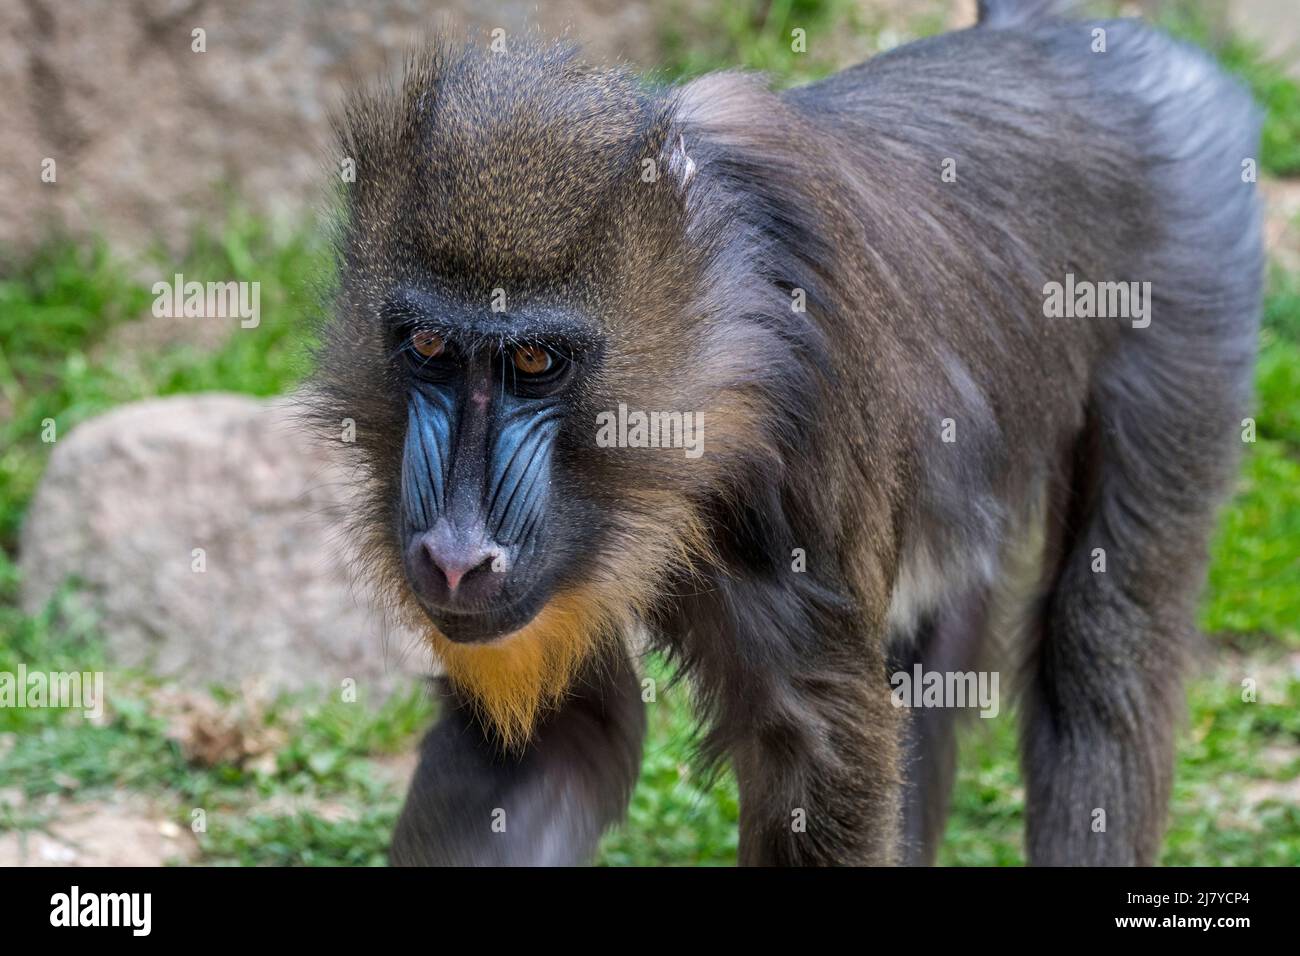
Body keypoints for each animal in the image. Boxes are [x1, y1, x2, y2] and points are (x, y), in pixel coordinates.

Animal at [308, 0, 1263, 866]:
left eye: (536, 360)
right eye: (430, 347)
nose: (455, 556)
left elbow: (827, 745)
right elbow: (560, 736)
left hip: (1191, 280)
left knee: (1104, 641)